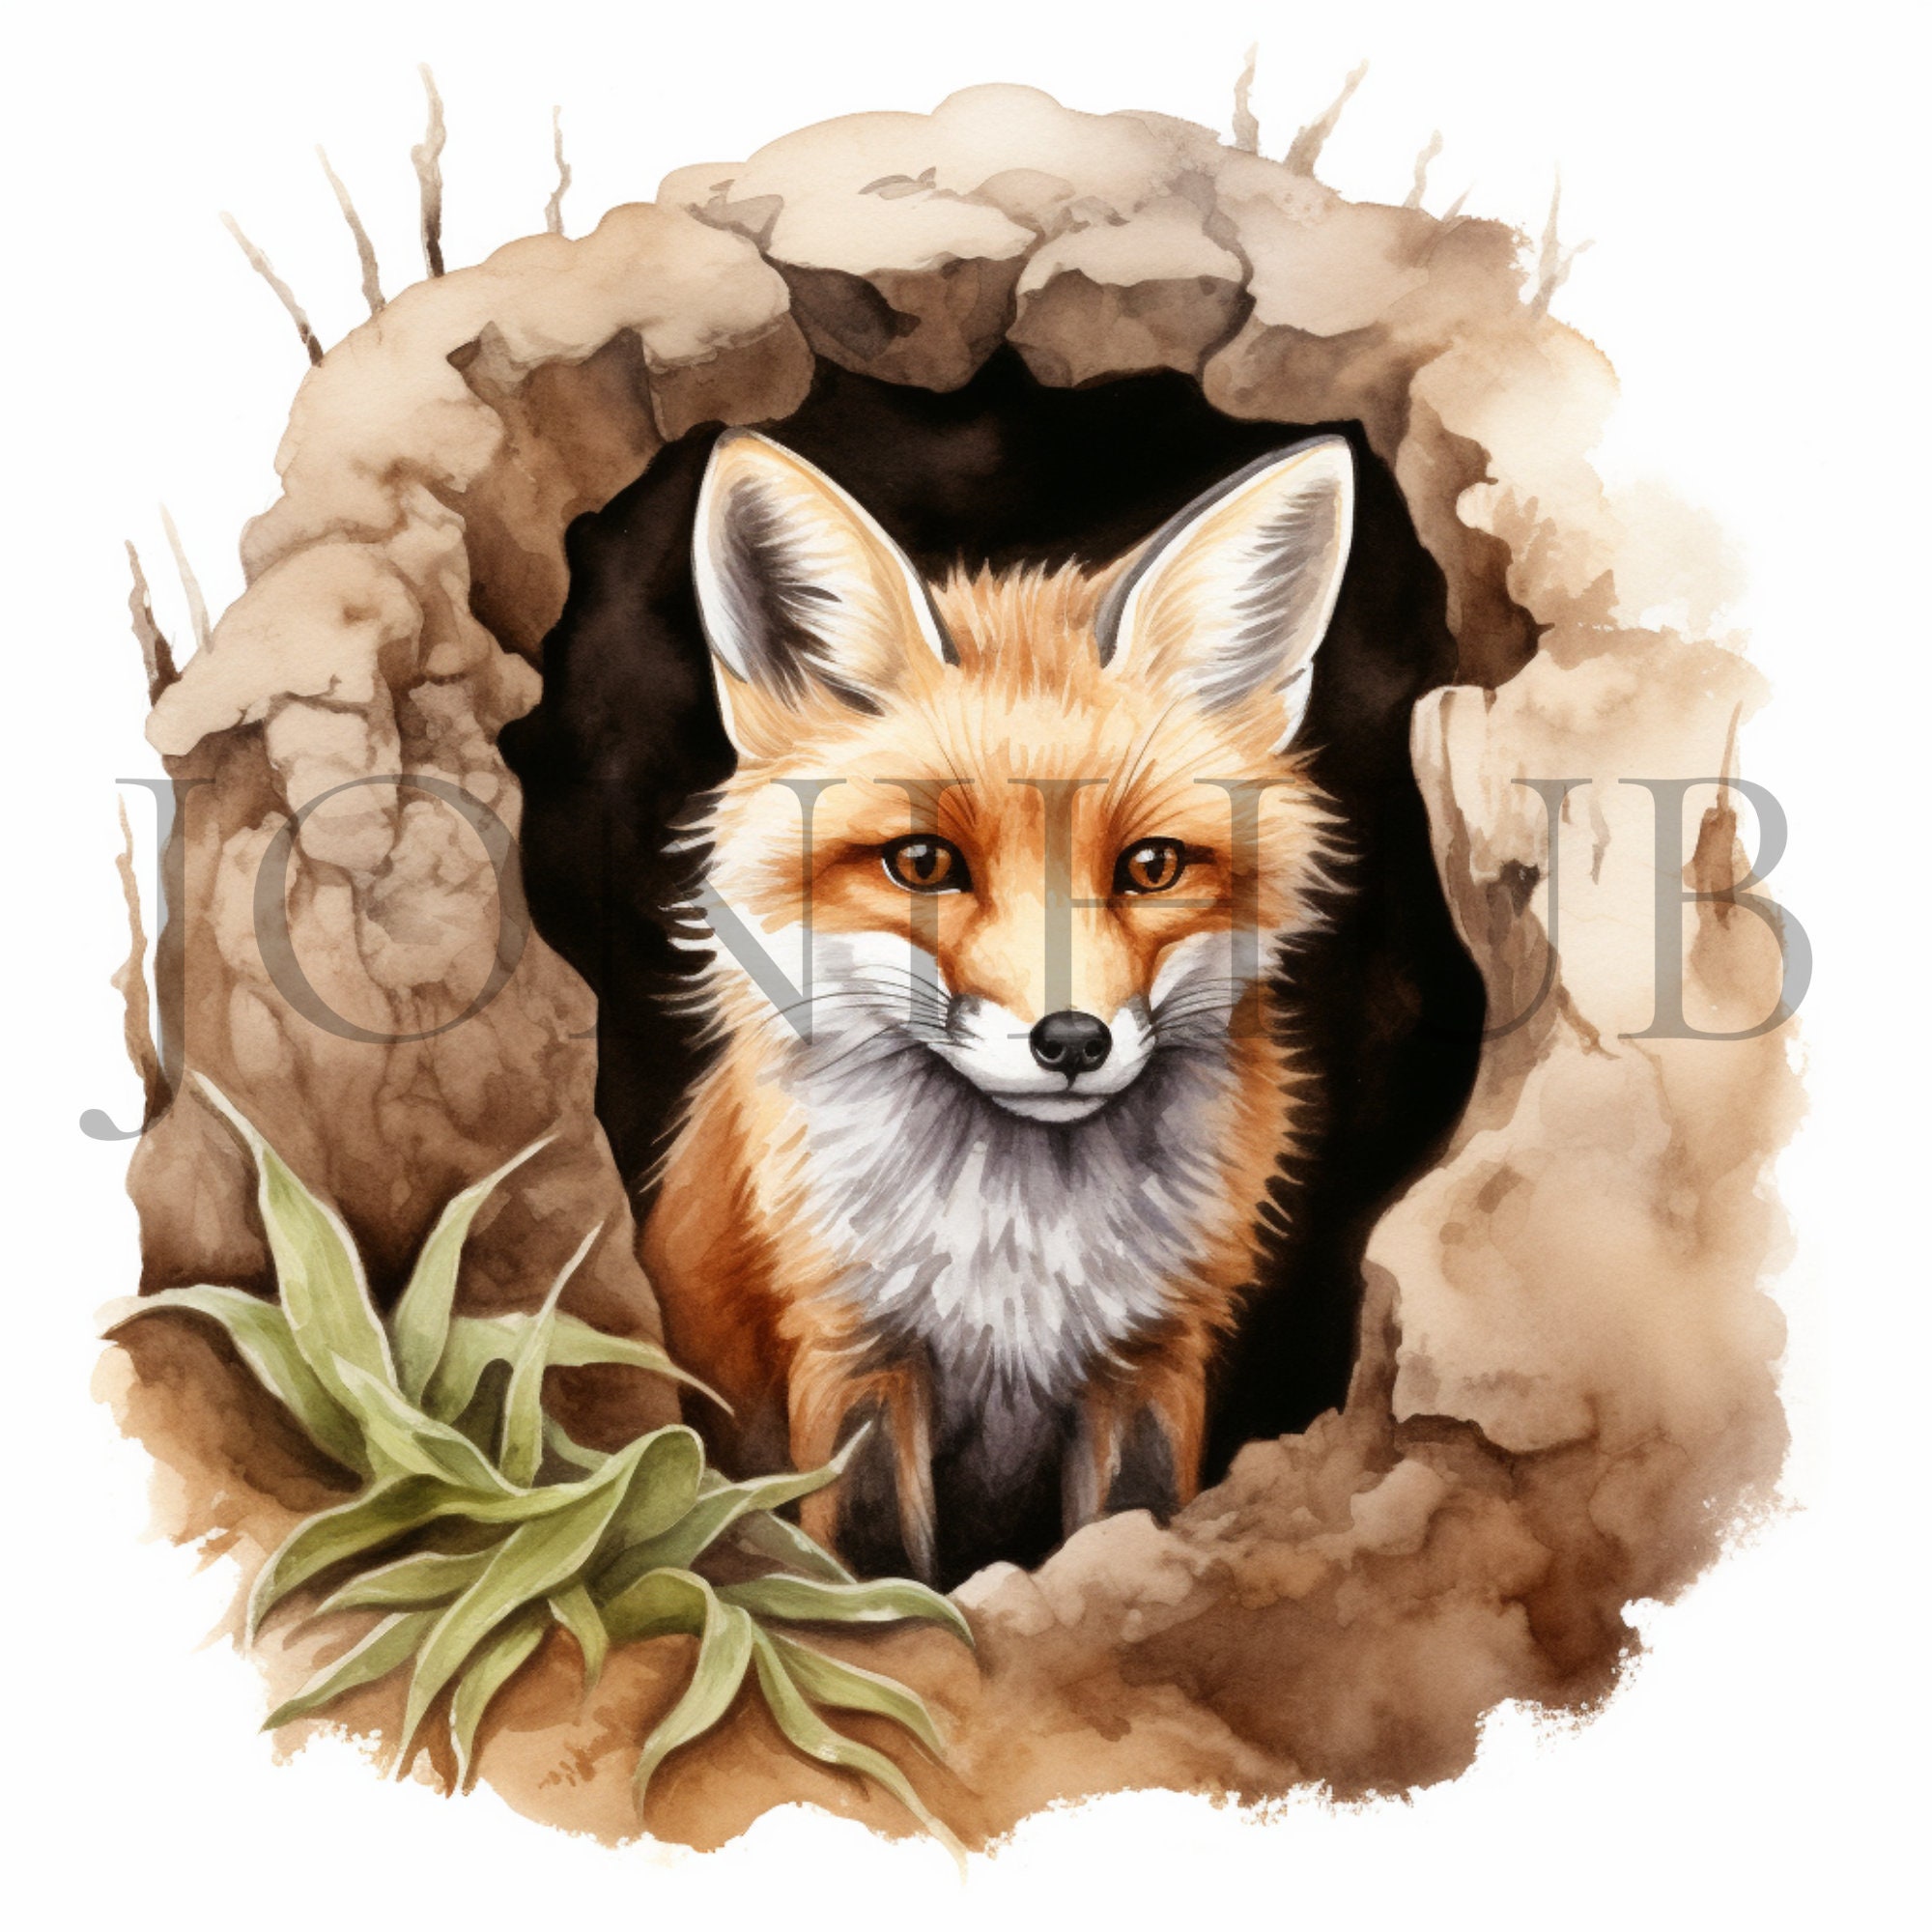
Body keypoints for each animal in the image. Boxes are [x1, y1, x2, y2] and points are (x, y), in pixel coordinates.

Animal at [639, 426, 1355, 1584]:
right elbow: (878, 1556)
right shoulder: (854, 1347)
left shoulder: (1149, 1355)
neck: (1016, 1241)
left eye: (1151, 867)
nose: (1072, 1040)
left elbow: (1126, 1524)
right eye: (924, 862)